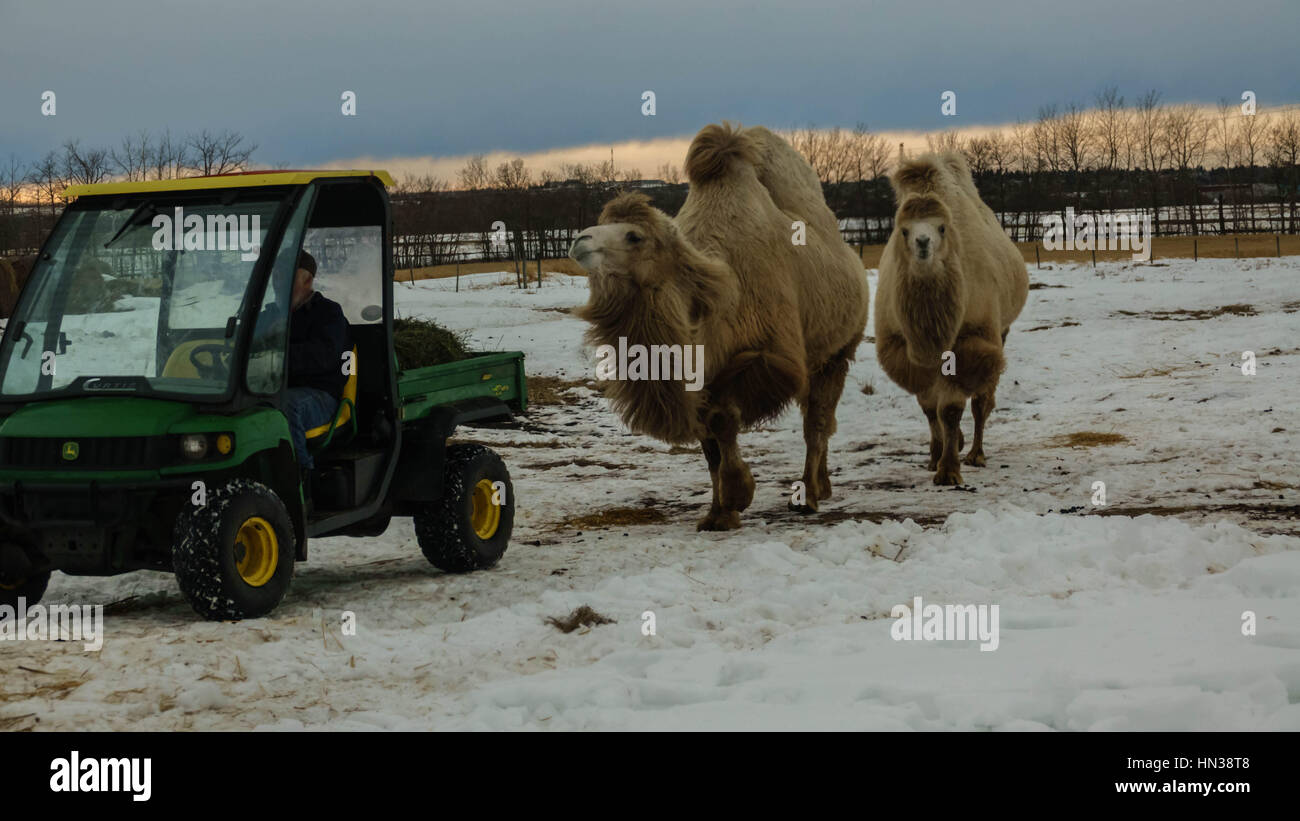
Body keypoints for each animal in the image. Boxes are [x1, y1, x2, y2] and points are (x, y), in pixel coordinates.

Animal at [568, 123, 869, 530]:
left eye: (635, 236)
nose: (580, 240)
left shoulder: (768, 356)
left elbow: (721, 421)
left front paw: (737, 495)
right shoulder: (701, 380)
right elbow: (707, 441)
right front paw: (717, 511)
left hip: (838, 352)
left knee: (817, 423)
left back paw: (807, 496)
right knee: (820, 418)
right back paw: (822, 487)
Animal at [873, 152, 1028, 485]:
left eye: (942, 228)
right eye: (903, 230)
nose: (923, 242)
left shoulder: (972, 338)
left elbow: (952, 408)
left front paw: (948, 470)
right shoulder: (904, 348)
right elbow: (929, 407)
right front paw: (936, 456)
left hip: (1000, 330)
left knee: (982, 400)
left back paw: (975, 454)